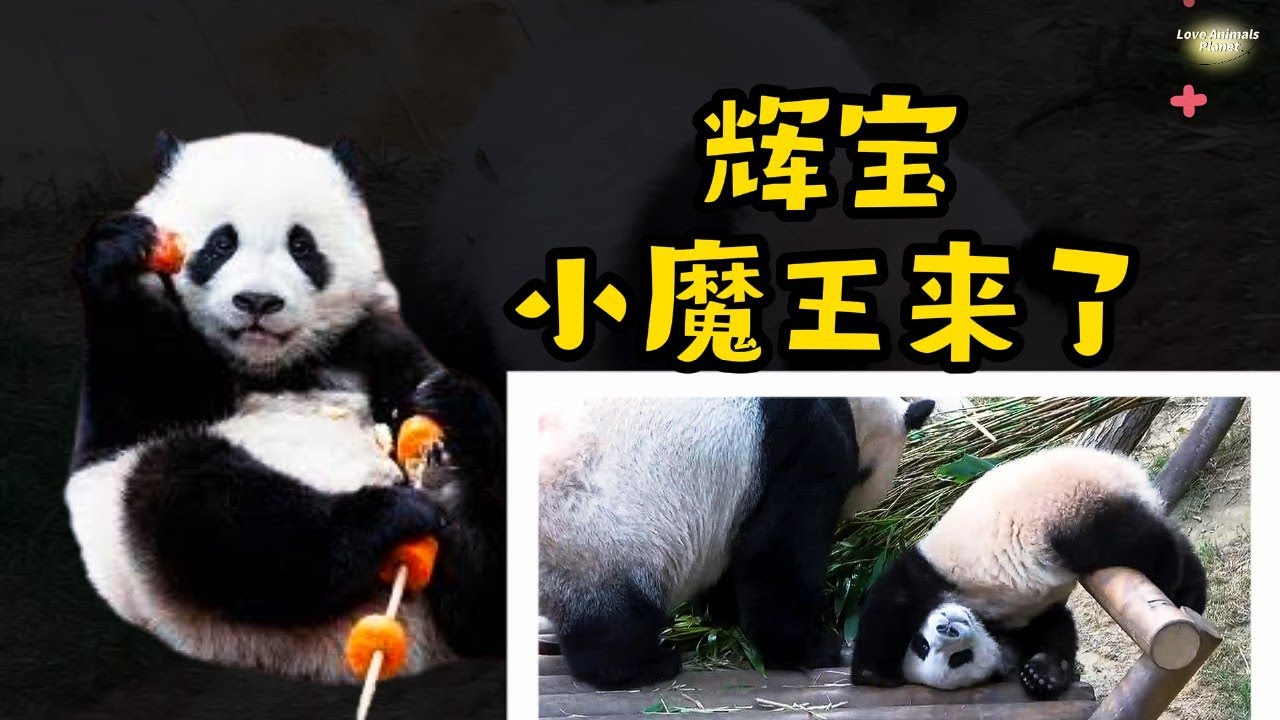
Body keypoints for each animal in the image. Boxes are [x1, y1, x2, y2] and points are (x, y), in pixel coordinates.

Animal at [64, 131, 505, 683]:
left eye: (302, 245)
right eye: (221, 244)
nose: (257, 302)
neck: (274, 368)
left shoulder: (372, 340)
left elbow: (426, 386)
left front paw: (456, 406)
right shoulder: (124, 421)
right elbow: (132, 413)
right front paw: (120, 253)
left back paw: (452, 491)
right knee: (206, 504)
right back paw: (387, 516)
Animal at [538, 396, 935, 689]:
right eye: (864, 475)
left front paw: (721, 613)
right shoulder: (808, 440)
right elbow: (777, 555)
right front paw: (814, 647)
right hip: (597, 536)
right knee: (612, 618)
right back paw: (647, 664)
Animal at [849, 446, 1206, 699]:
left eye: (922, 646)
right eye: (960, 659)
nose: (947, 627)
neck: (983, 620)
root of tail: (1122, 470)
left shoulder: (928, 577)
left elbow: (890, 605)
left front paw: (872, 675)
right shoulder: (1022, 619)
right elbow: (1056, 624)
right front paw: (1044, 675)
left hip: (1067, 509)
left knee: (1130, 541)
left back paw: (1170, 578)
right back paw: (1190, 594)